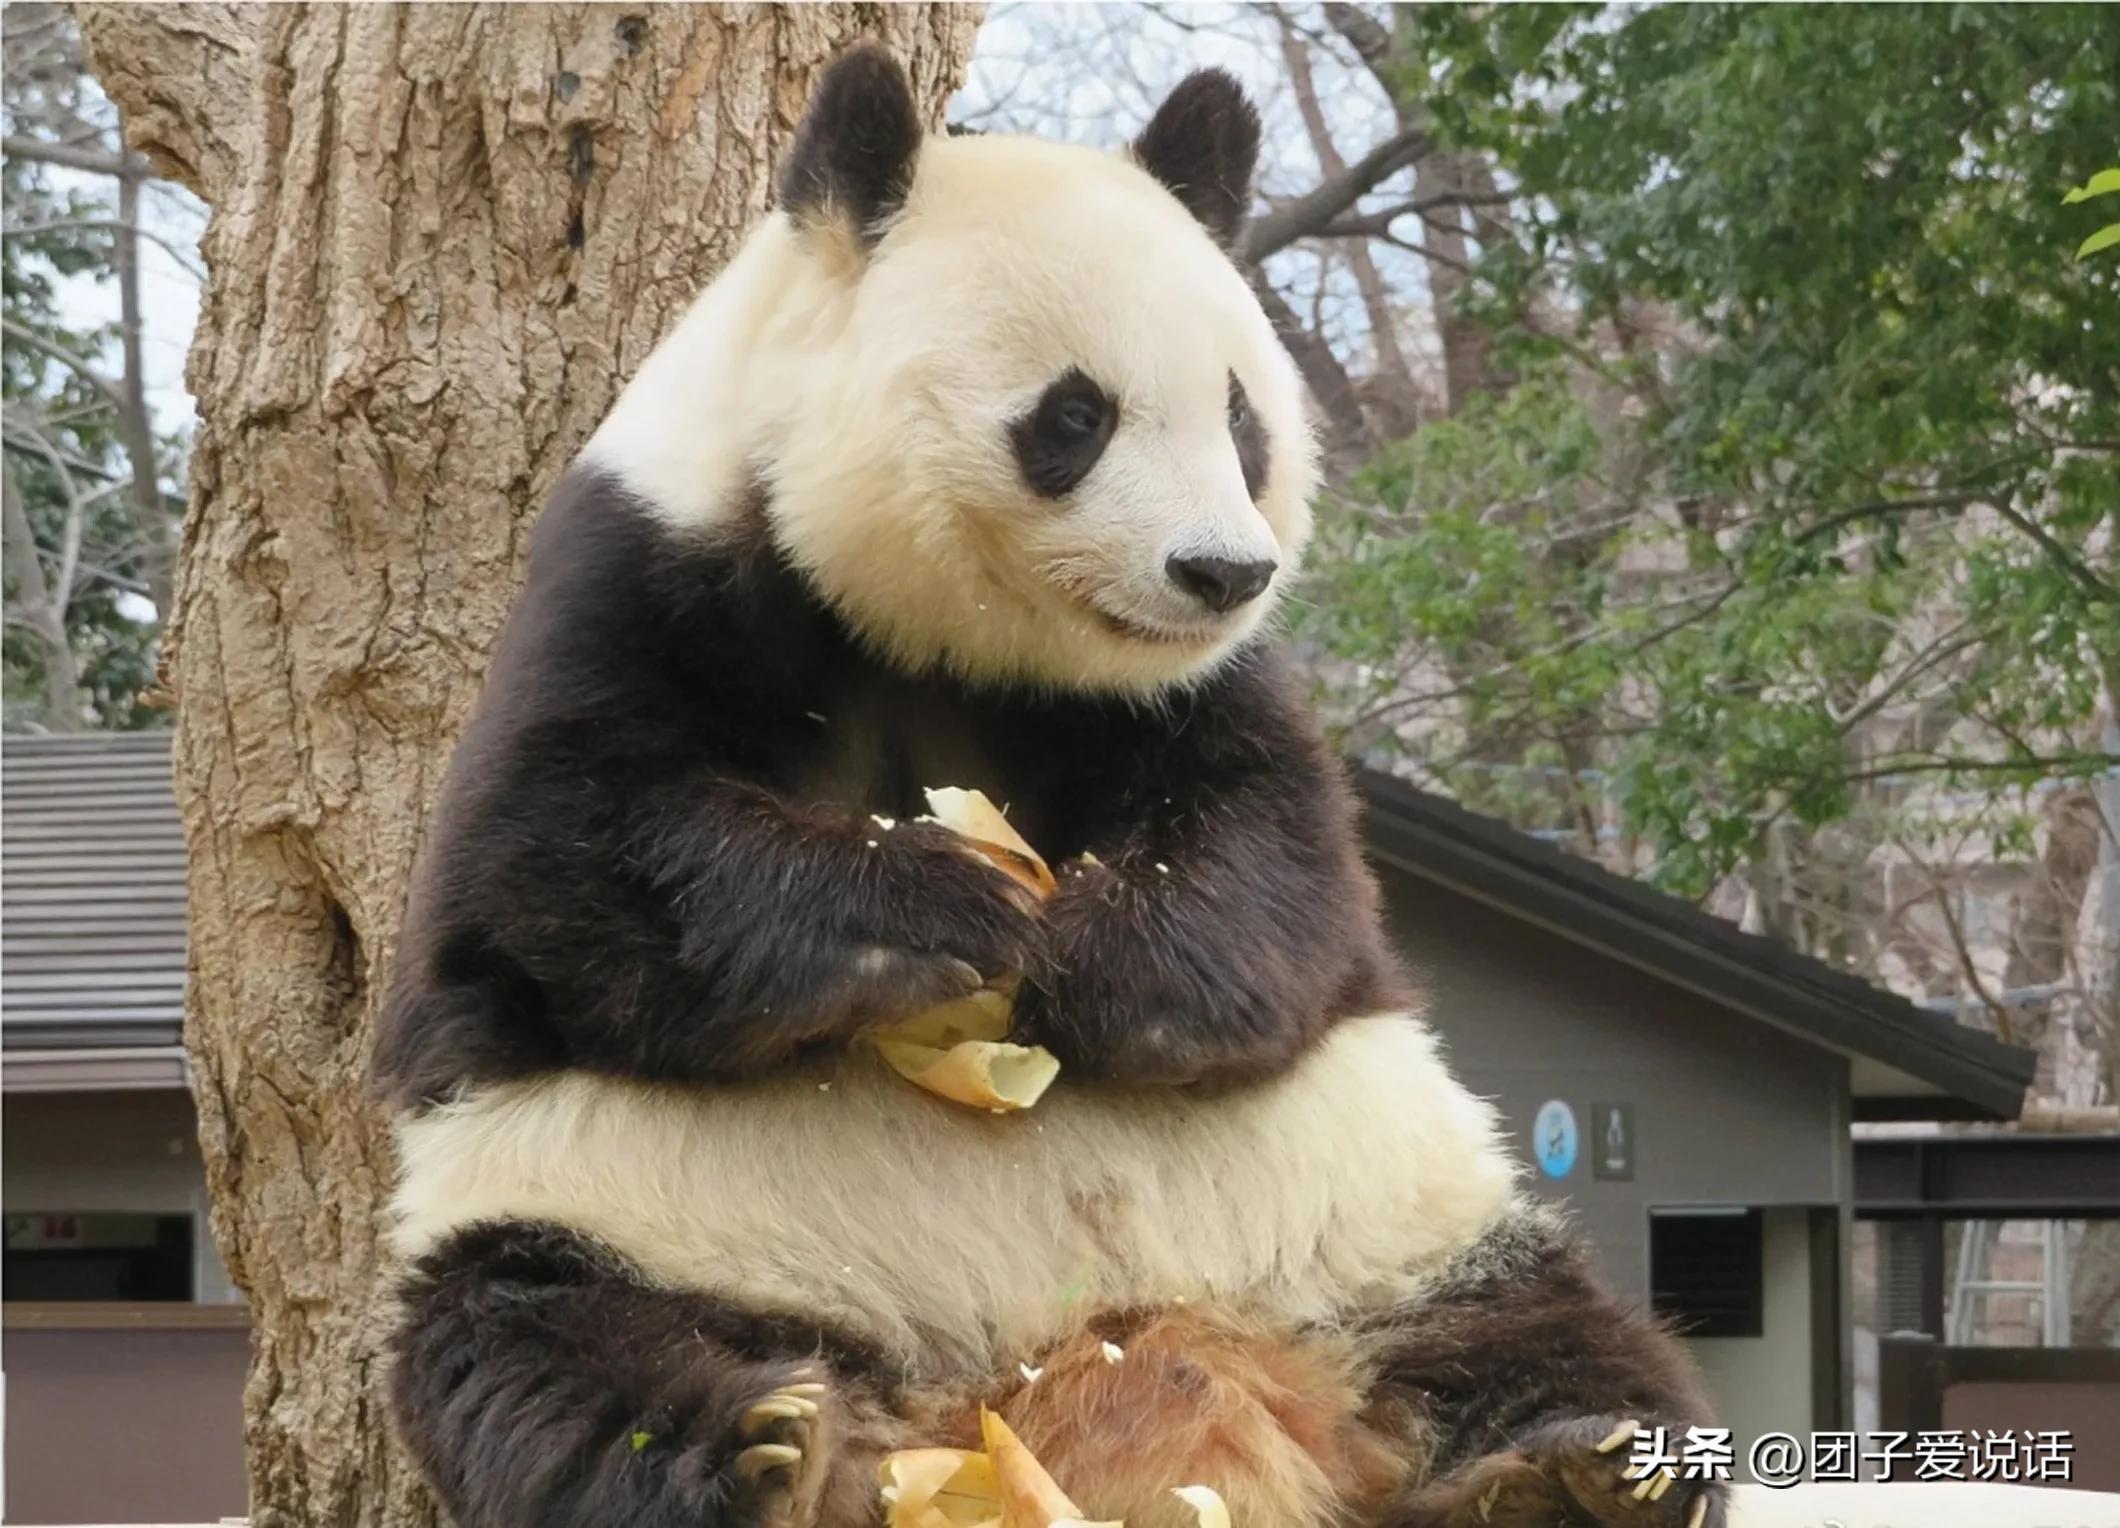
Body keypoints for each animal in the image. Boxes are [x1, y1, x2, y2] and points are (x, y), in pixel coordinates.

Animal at [375, 45, 1727, 1528]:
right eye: (1074, 417)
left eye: (1243, 419)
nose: (1221, 571)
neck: (937, 633)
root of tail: (1032, 1387)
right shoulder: (636, 569)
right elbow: (554, 862)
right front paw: (935, 917)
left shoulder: (1205, 689)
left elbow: (1289, 874)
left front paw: (1098, 962)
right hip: (628, 1213)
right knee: (544, 1352)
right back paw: (758, 1454)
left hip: (1377, 1231)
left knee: (1539, 1330)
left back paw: (1578, 1467)